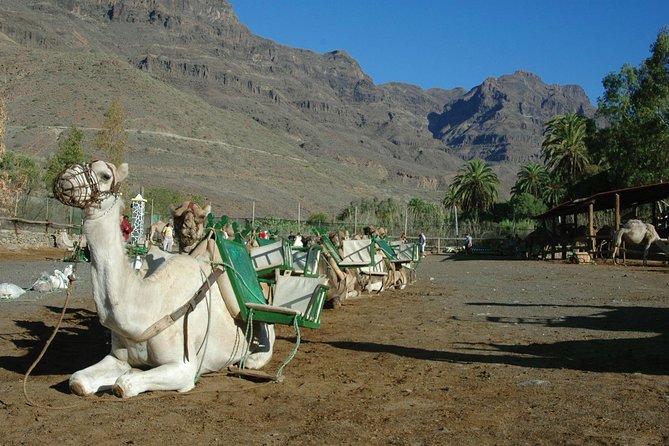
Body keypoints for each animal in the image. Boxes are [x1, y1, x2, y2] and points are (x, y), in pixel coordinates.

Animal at [53, 160, 274, 397]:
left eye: (105, 175)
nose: (64, 179)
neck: (148, 309)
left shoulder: (183, 366)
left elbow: (124, 384)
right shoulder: (117, 357)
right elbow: (78, 380)